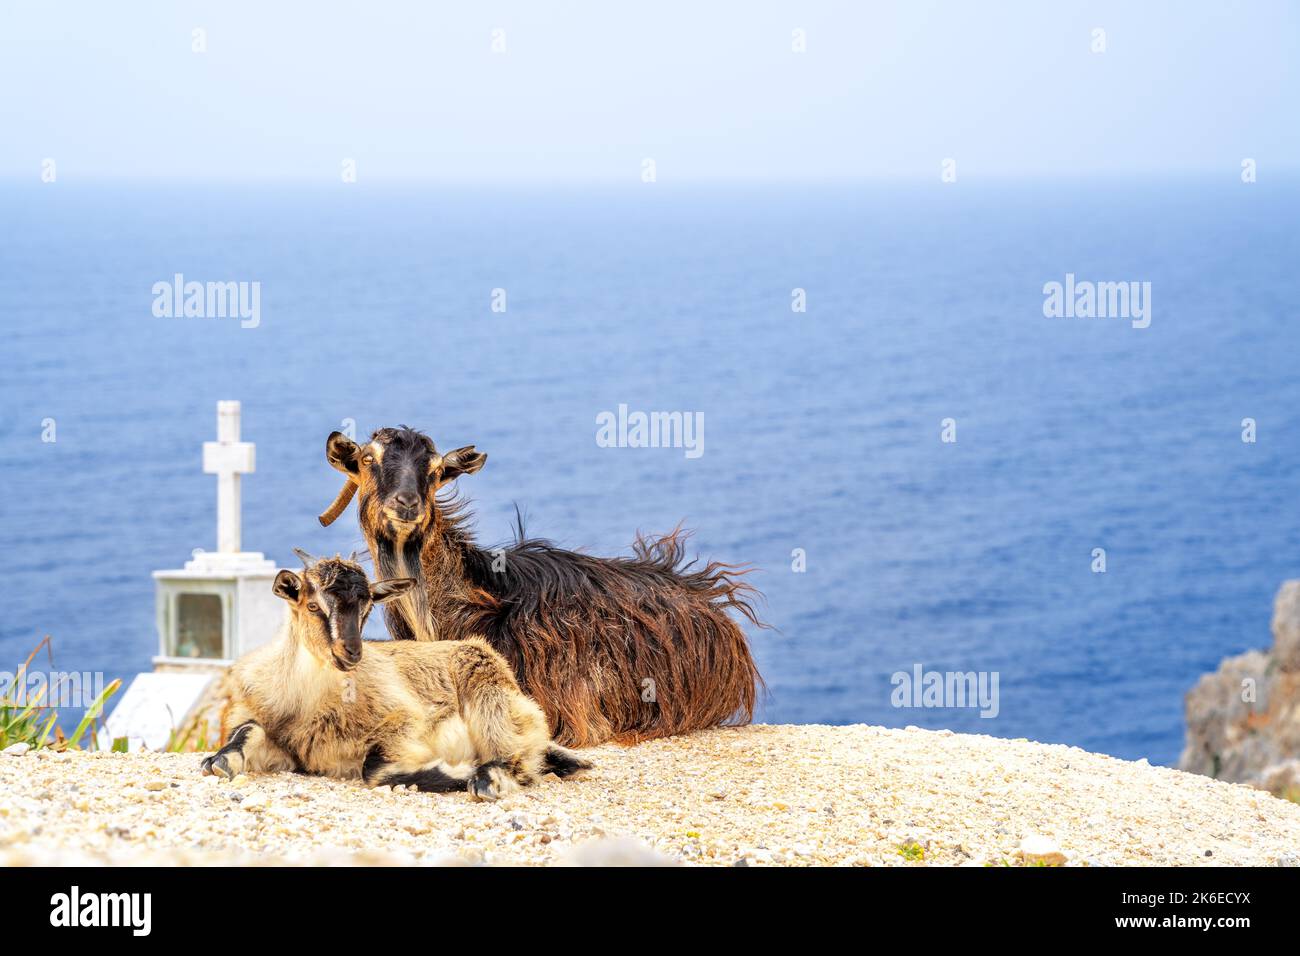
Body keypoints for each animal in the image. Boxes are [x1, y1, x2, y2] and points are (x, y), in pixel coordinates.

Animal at [200, 550, 591, 799]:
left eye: (367, 608)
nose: (351, 652)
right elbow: (246, 731)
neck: (306, 702)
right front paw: (218, 761)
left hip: (489, 694)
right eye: (312, 605)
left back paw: (487, 779)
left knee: (517, 756)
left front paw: (458, 771)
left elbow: (374, 768)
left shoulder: (404, 720)